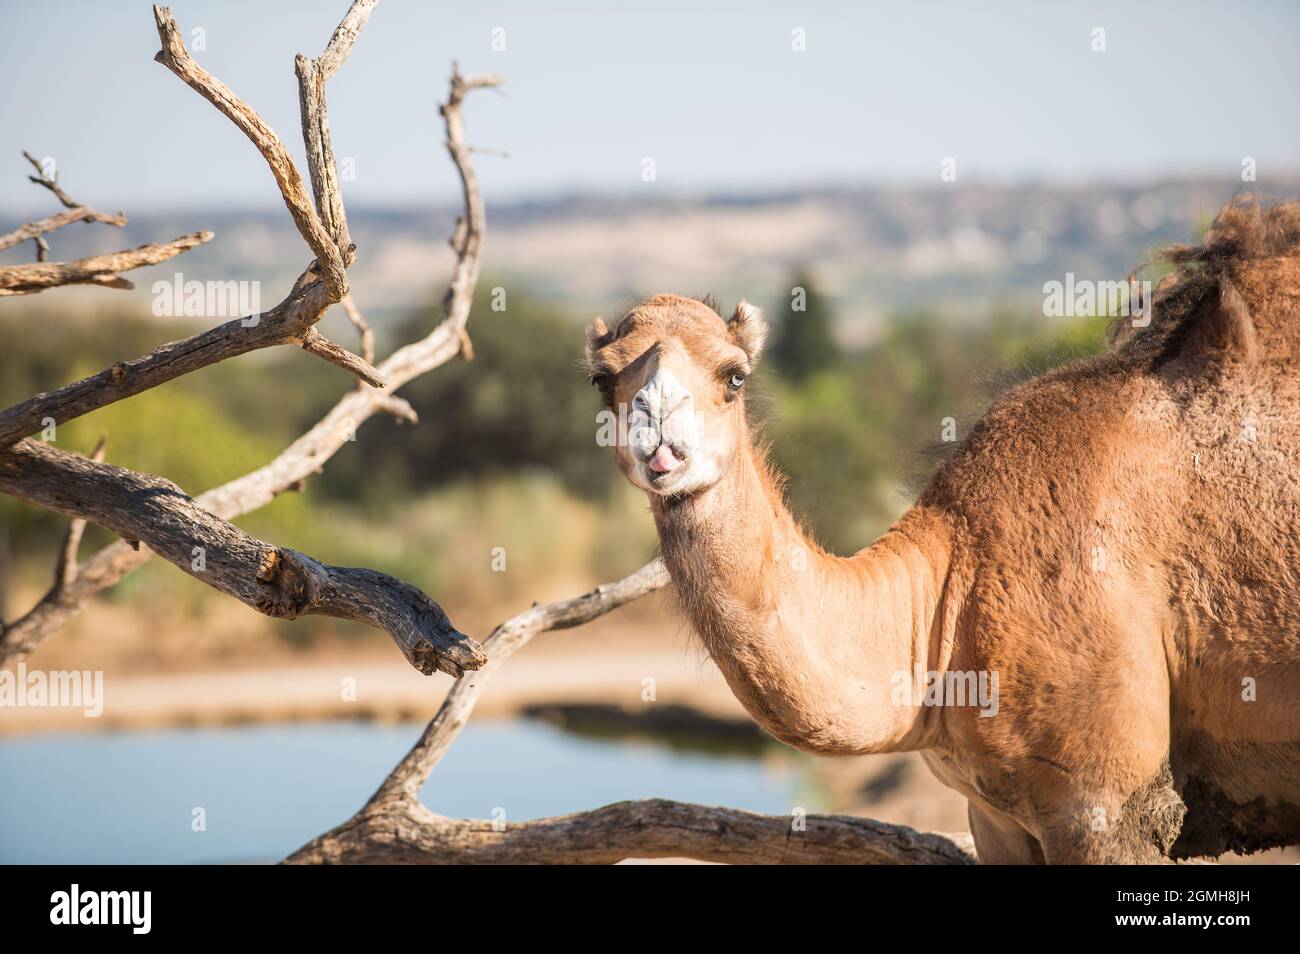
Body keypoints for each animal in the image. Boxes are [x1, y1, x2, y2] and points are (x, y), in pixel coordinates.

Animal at [584, 199, 1300, 863]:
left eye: (734, 375)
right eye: (601, 378)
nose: (658, 428)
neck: (944, 593)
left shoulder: (1106, 801)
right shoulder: (996, 816)